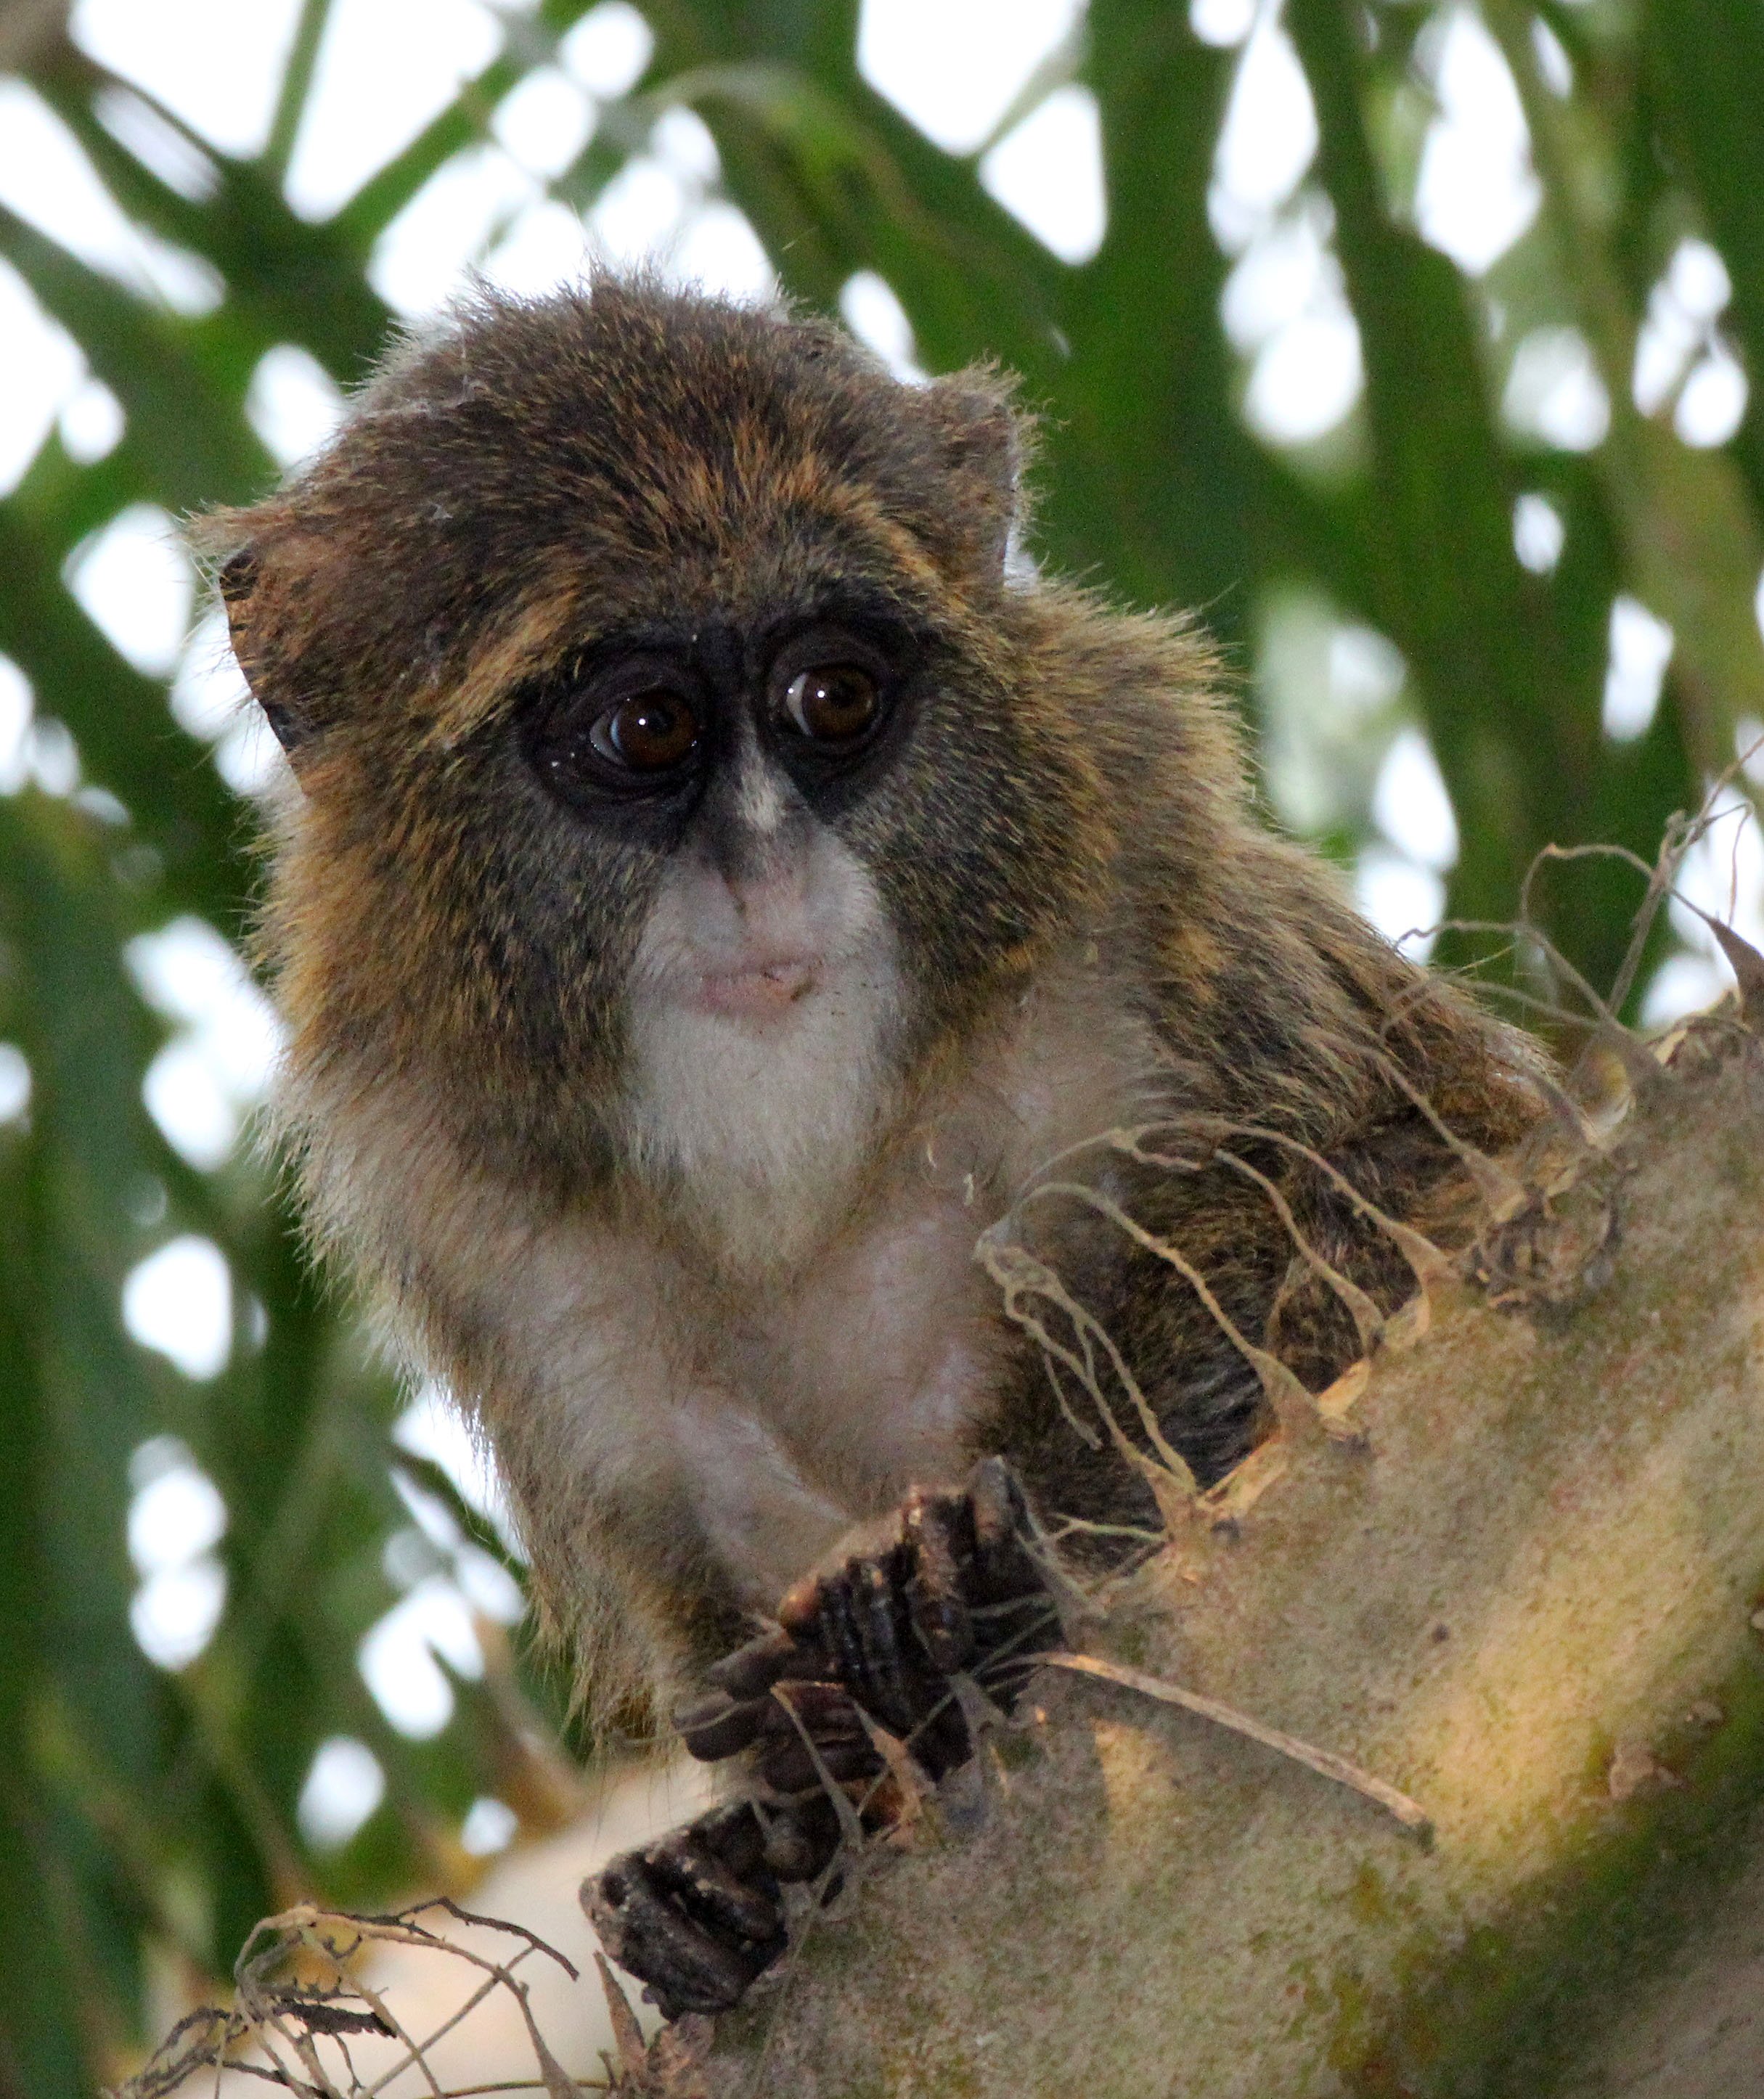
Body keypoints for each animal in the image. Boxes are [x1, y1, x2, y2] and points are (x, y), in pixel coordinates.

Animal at [198, 275, 1544, 2021]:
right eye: (648, 727)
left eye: (831, 698)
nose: (768, 864)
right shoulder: (456, 1189)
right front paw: (742, 1863)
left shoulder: (1132, 858)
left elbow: (1401, 1196)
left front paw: (943, 1608)